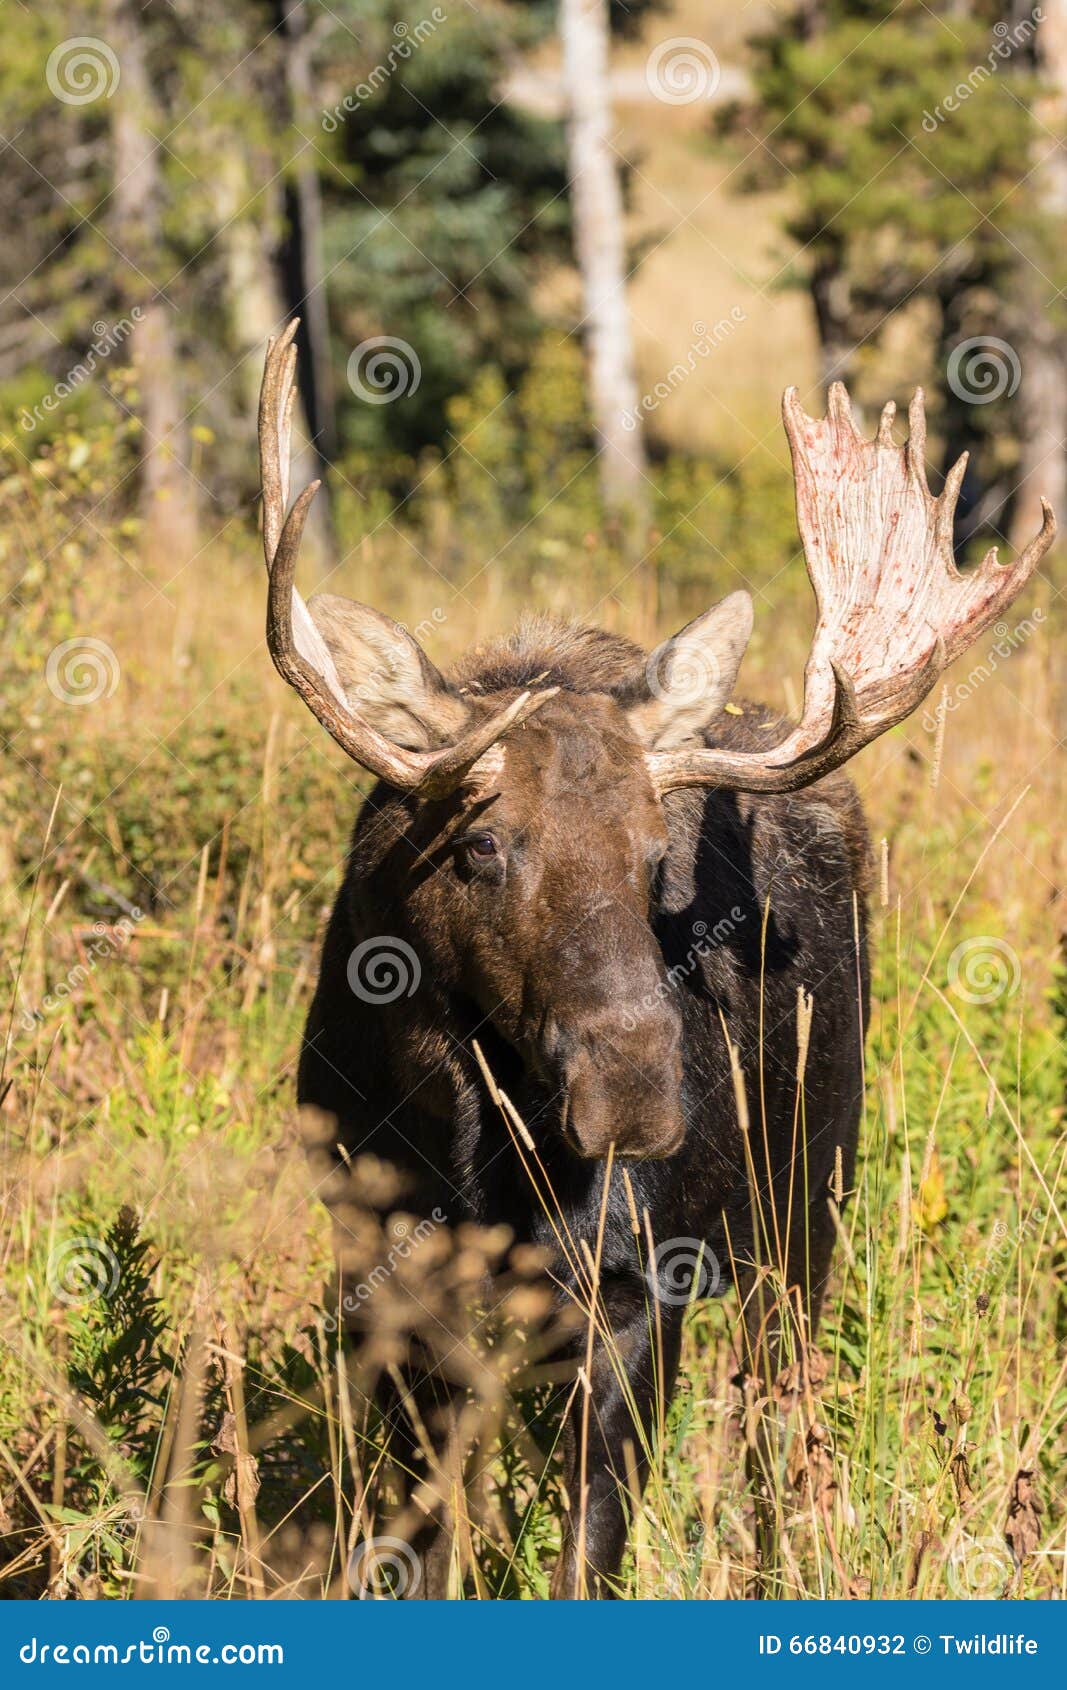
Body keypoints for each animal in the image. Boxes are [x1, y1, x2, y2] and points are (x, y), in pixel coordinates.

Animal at [258, 320, 1054, 1598]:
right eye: (479, 841)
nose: (632, 1084)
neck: (466, 1147)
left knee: (781, 1415)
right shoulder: (378, 1276)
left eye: (650, 856)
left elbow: (589, 1547)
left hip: (807, 1201)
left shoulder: (642, 1283)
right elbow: (424, 1538)